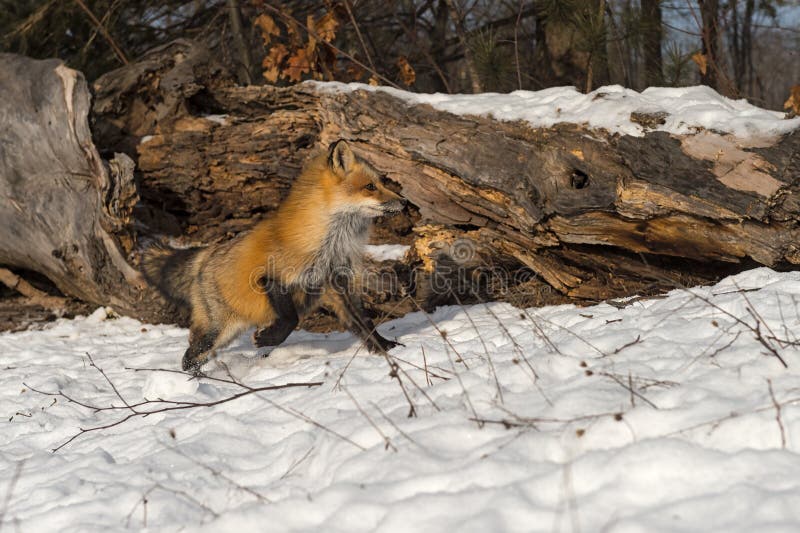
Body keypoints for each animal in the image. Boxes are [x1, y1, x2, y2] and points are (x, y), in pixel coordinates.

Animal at [142, 140, 406, 371]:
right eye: (370, 187)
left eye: (381, 183)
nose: (404, 202)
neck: (331, 242)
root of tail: (207, 254)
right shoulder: (274, 276)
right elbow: (291, 319)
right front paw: (268, 338)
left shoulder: (337, 283)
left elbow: (365, 323)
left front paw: (385, 348)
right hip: (215, 333)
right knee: (189, 357)